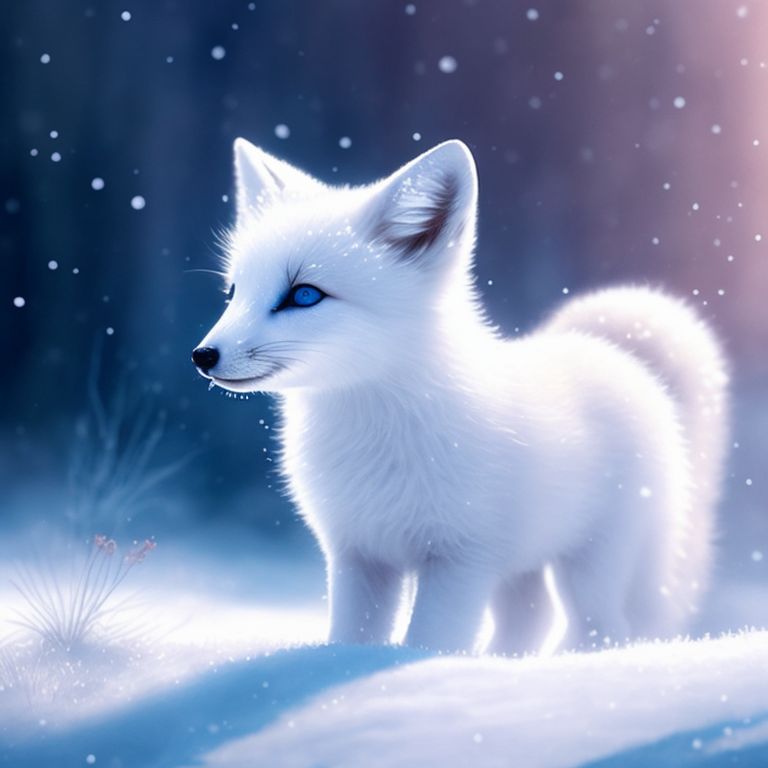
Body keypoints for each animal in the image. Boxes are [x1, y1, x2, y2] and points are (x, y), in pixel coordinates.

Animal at [192, 138, 728, 654]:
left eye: (304, 295)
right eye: (234, 292)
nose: (202, 355)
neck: (376, 438)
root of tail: (621, 358)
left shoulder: (459, 560)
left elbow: (431, 640)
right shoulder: (358, 554)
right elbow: (353, 637)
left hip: (592, 564)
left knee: (601, 629)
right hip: (521, 567)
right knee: (532, 618)